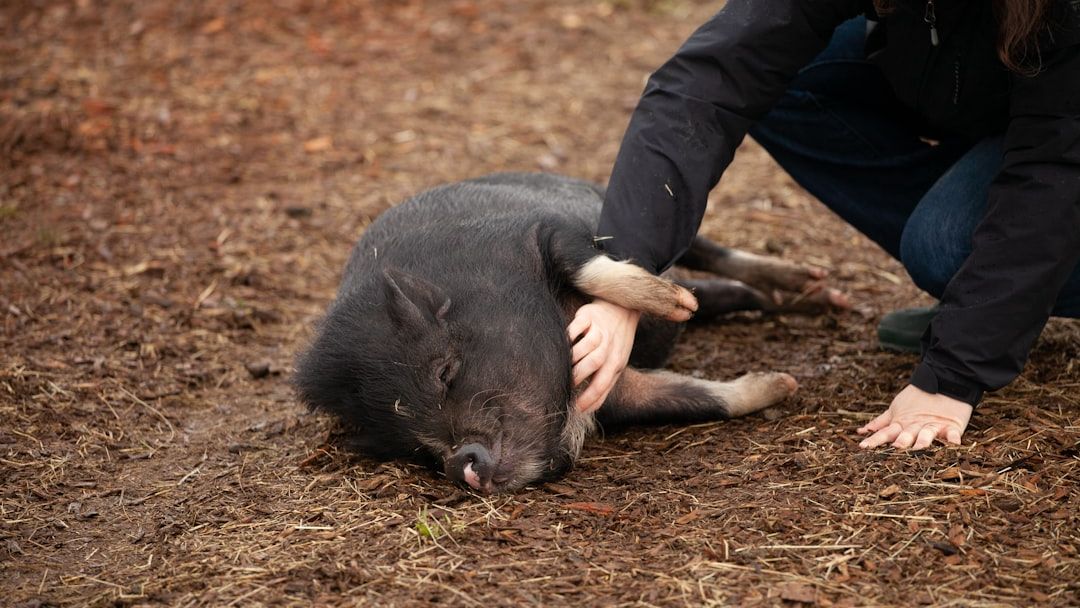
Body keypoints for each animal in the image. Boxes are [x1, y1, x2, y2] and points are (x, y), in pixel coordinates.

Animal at [294, 173, 843, 494]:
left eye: (446, 372)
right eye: (412, 447)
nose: (459, 465)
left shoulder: (545, 231)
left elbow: (591, 267)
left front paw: (673, 305)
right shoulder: (618, 393)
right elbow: (697, 399)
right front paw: (783, 384)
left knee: (711, 252)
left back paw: (814, 289)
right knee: (718, 290)